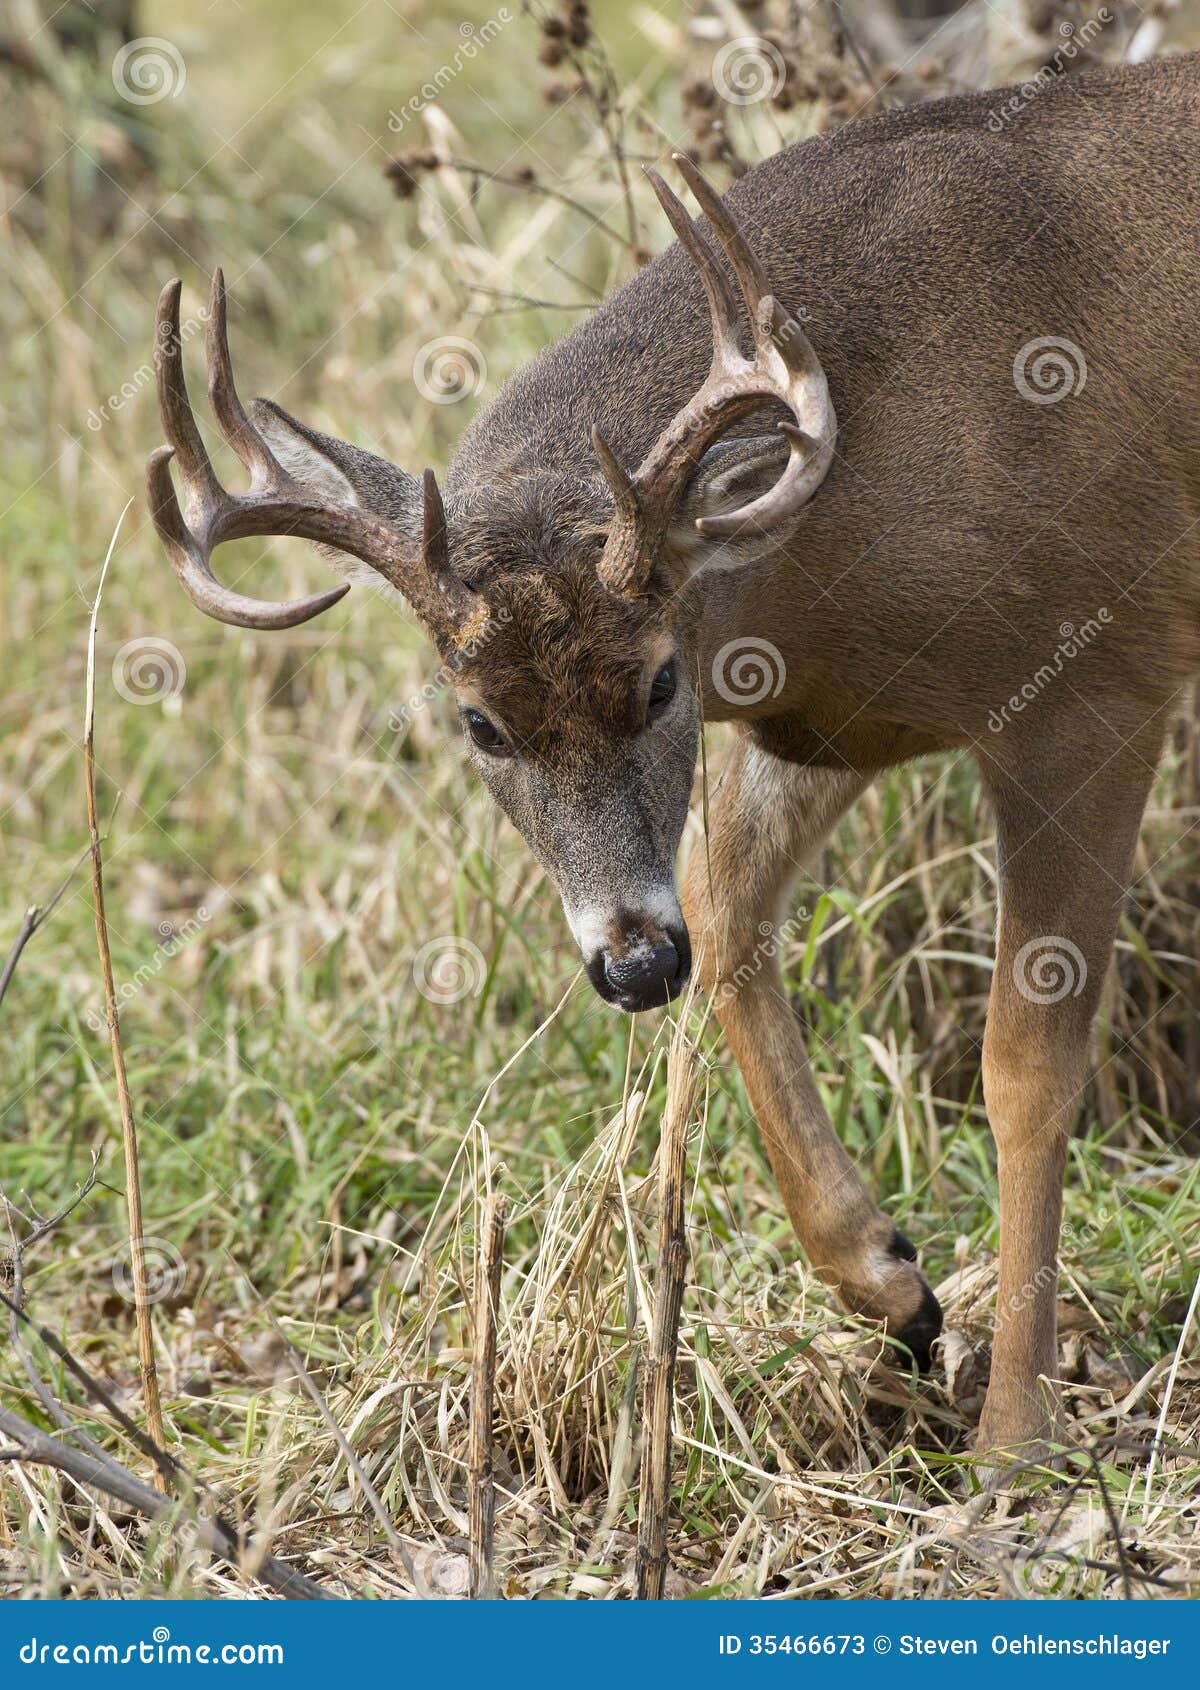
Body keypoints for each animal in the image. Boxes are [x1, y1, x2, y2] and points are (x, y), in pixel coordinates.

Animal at [145, 50, 1200, 1460]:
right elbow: (724, 894)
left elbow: (1027, 1065)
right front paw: (895, 1287)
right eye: (478, 721)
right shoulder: (819, 716)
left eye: (656, 680)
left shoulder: (1097, 672)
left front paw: (1016, 1440)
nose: (633, 967)